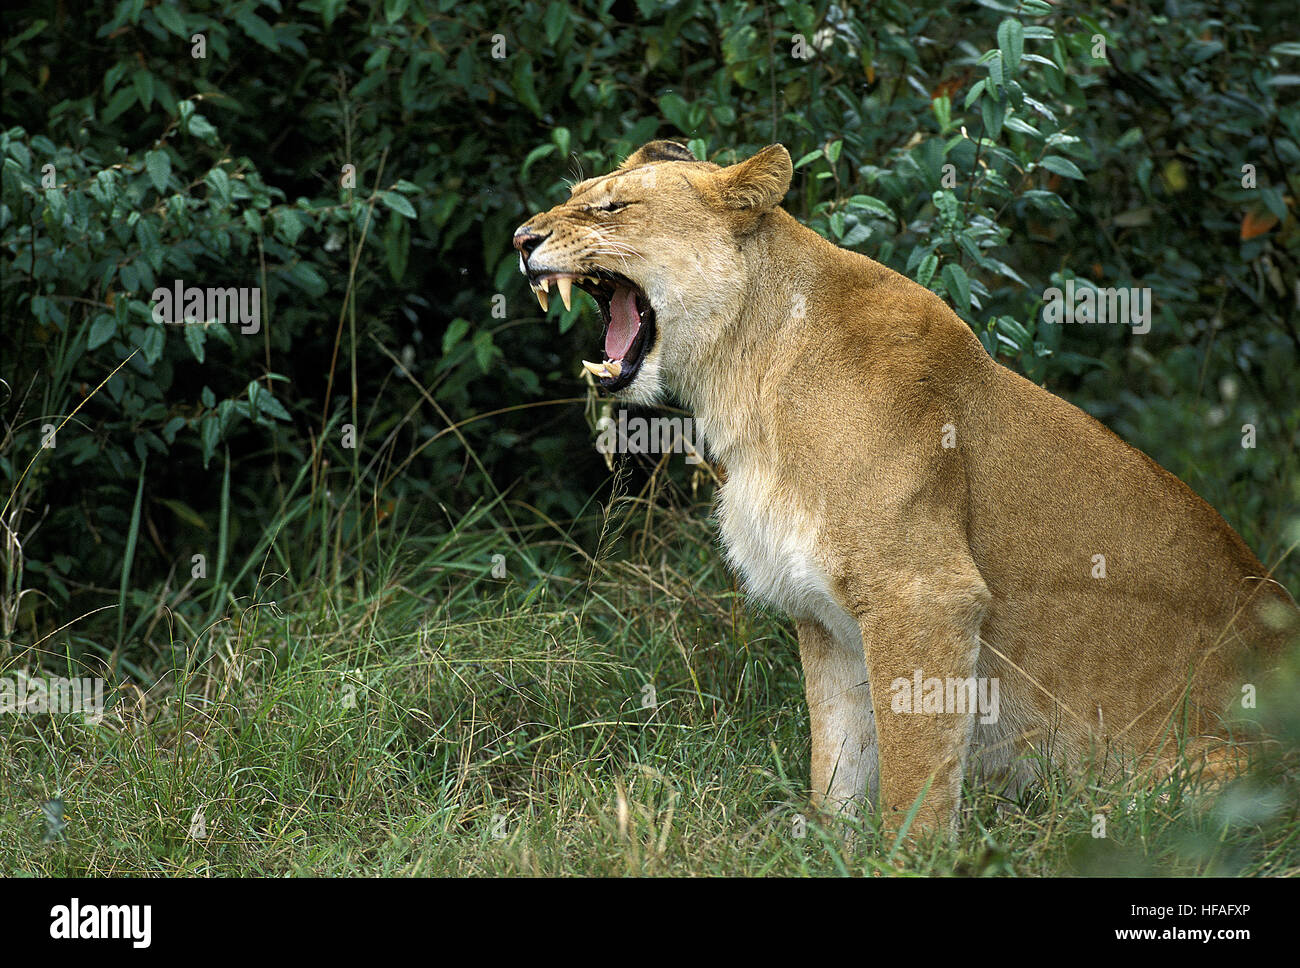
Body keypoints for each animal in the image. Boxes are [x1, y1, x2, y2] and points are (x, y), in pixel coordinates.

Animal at [513, 140, 1298, 834]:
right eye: (576, 195)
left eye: (613, 206)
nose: (522, 239)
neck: (747, 378)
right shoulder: (824, 614)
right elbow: (839, 758)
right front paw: (830, 844)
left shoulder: (923, 595)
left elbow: (913, 771)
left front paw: (907, 858)